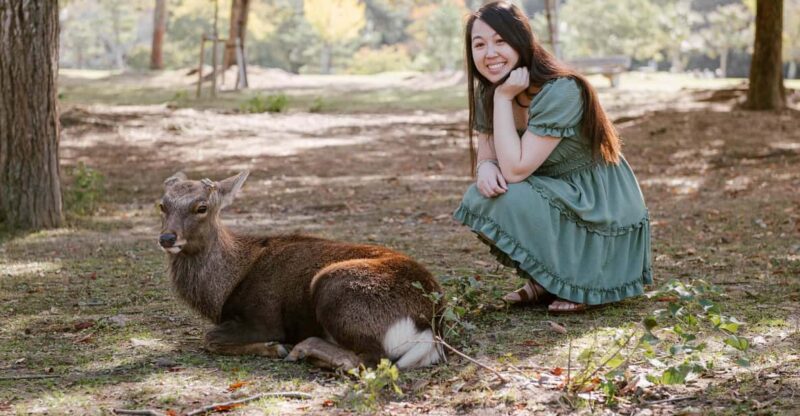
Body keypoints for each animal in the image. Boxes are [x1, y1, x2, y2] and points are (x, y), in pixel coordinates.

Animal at [157, 171, 445, 370]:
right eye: (162, 205)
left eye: (201, 207)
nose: (167, 238)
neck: (222, 293)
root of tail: (429, 325)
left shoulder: (265, 317)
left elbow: (209, 337)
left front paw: (277, 348)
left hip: (335, 288)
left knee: (372, 360)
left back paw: (303, 350)